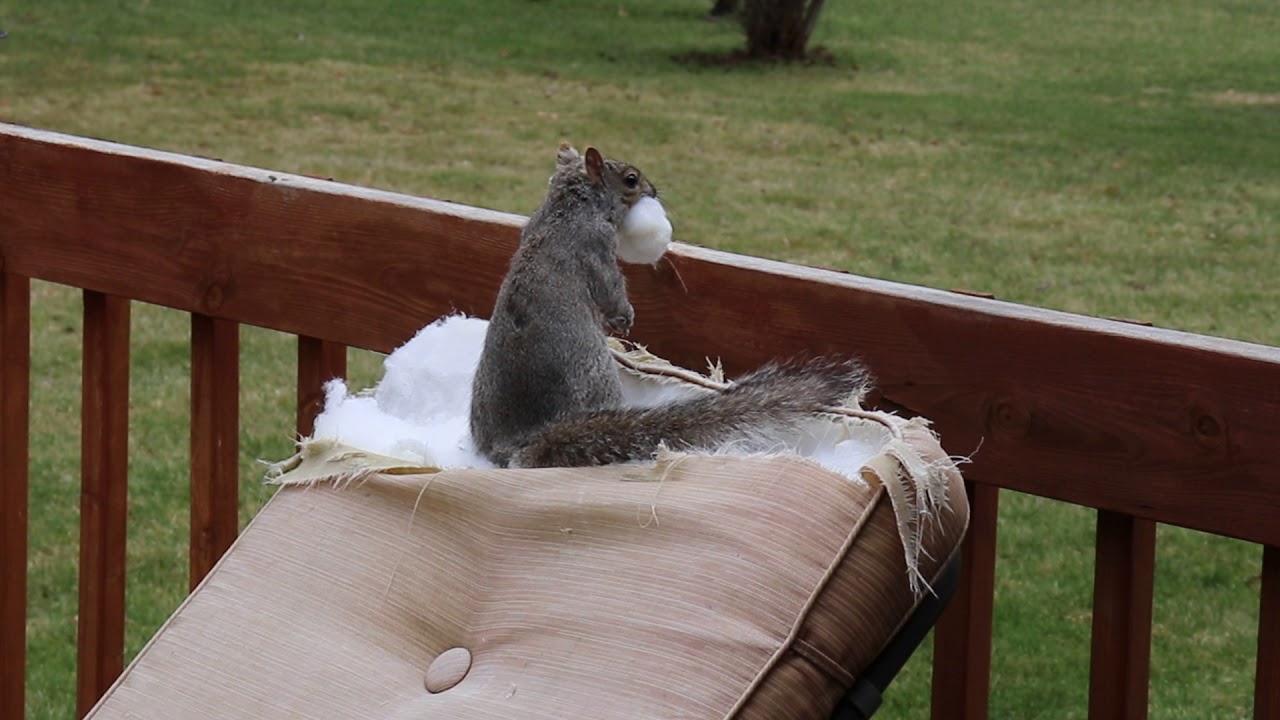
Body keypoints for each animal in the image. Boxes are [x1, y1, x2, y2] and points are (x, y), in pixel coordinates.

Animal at [469, 143, 870, 468]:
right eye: (631, 179)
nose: (653, 190)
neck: (564, 207)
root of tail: (519, 442)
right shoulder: (595, 248)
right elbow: (610, 291)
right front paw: (625, 317)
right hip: (598, 376)